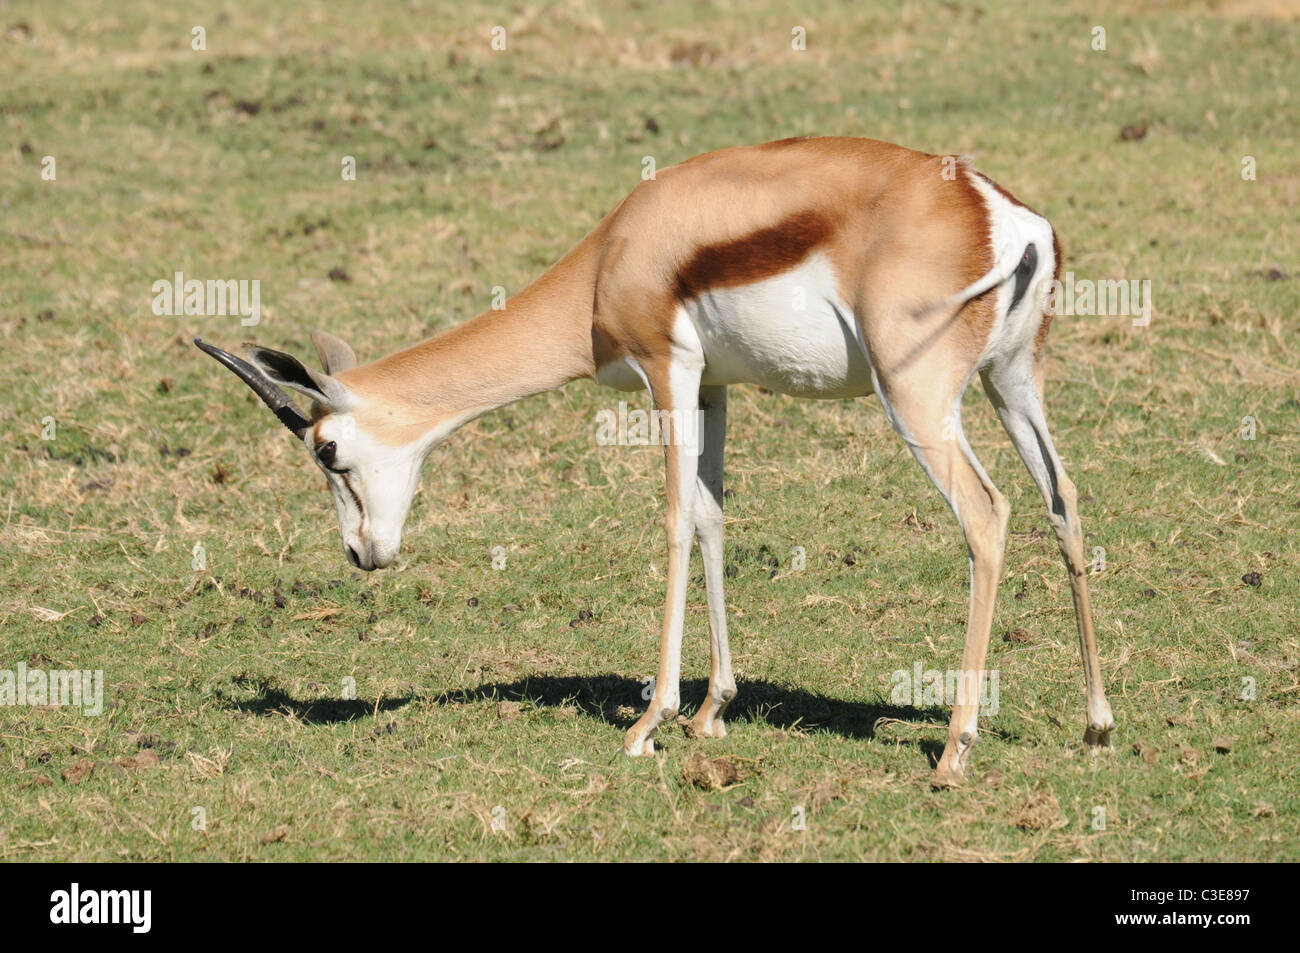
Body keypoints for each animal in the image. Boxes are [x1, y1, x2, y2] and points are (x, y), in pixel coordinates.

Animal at [197, 136, 1115, 786]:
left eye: (327, 450)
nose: (362, 553)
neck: (614, 253)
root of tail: (999, 213)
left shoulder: (665, 368)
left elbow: (674, 519)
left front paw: (649, 723)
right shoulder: (715, 385)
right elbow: (712, 517)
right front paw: (712, 709)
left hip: (917, 398)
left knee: (988, 514)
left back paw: (955, 747)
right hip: (1011, 381)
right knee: (1064, 500)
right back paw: (1098, 721)